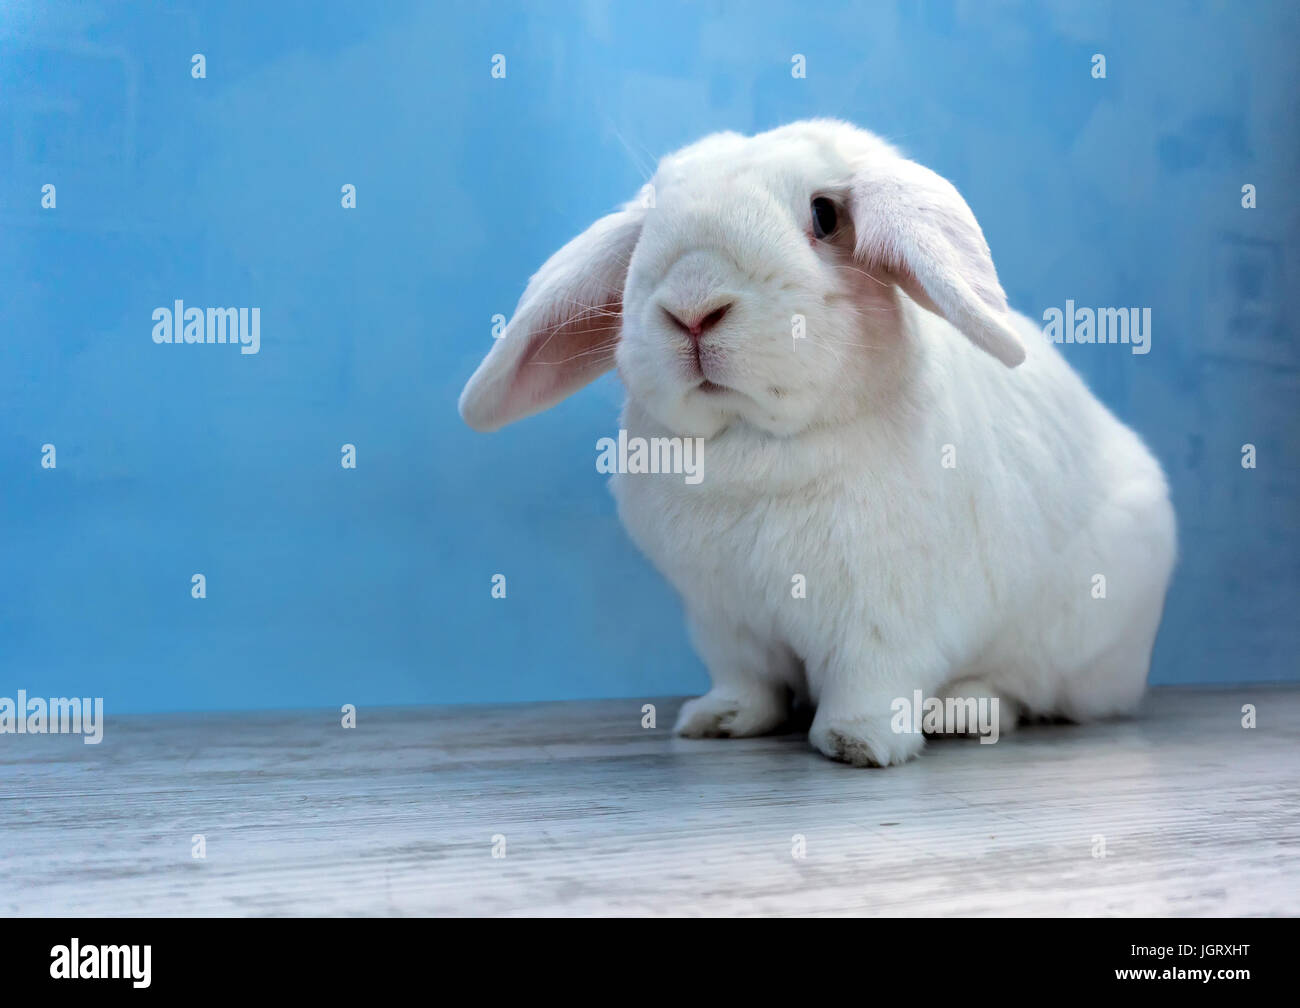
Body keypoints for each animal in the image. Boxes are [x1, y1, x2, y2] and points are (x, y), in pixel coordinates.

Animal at [459, 119, 1176, 767]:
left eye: (825, 216)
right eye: (649, 226)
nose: (692, 309)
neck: (754, 442)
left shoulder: (887, 620)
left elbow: (872, 683)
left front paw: (857, 743)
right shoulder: (724, 621)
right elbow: (748, 682)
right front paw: (720, 720)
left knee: (1021, 690)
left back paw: (960, 711)